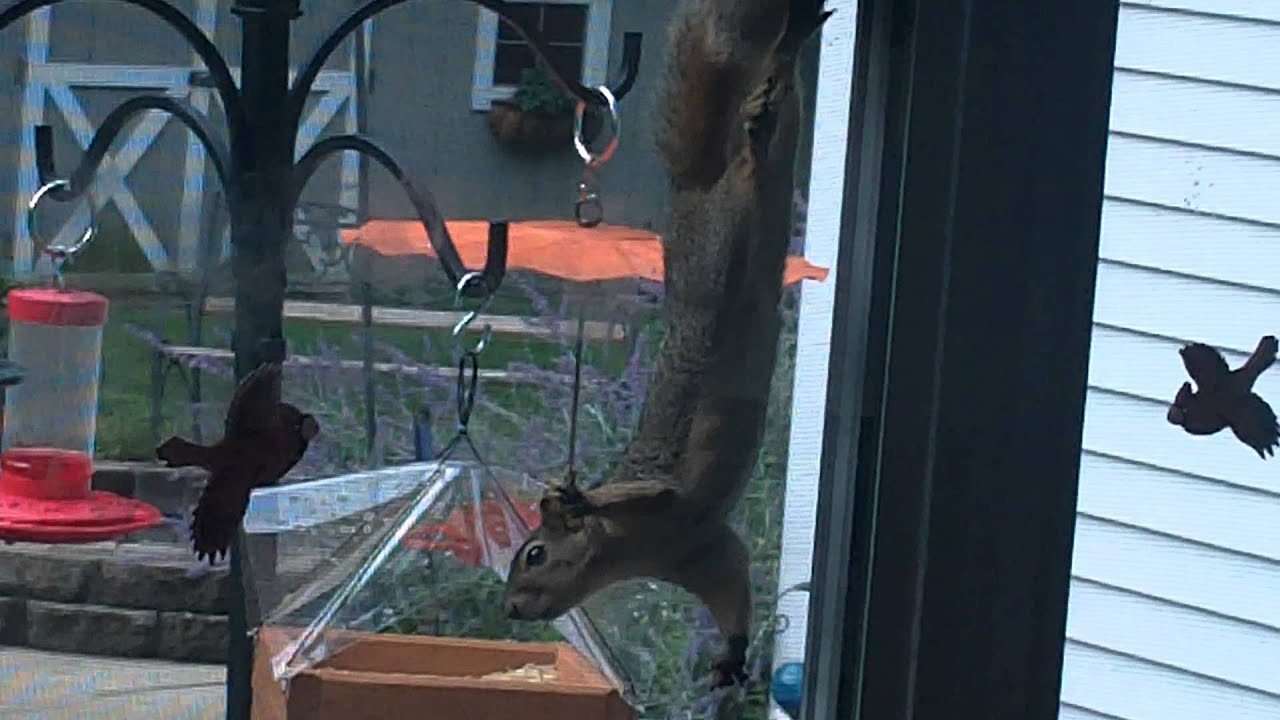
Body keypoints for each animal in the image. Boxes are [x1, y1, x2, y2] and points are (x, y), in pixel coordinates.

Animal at [503, 0, 831, 689]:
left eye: (536, 554)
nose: (510, 608)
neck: (641, 550)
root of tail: (692, 192)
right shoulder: (707, 554)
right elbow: (733, 596)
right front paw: (731, 660)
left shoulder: (660, 504)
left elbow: (636, 491)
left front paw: (572, 493)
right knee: (780, 119)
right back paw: (793, 44)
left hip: (727, 232)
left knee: (753, 152)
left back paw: (777, 75)